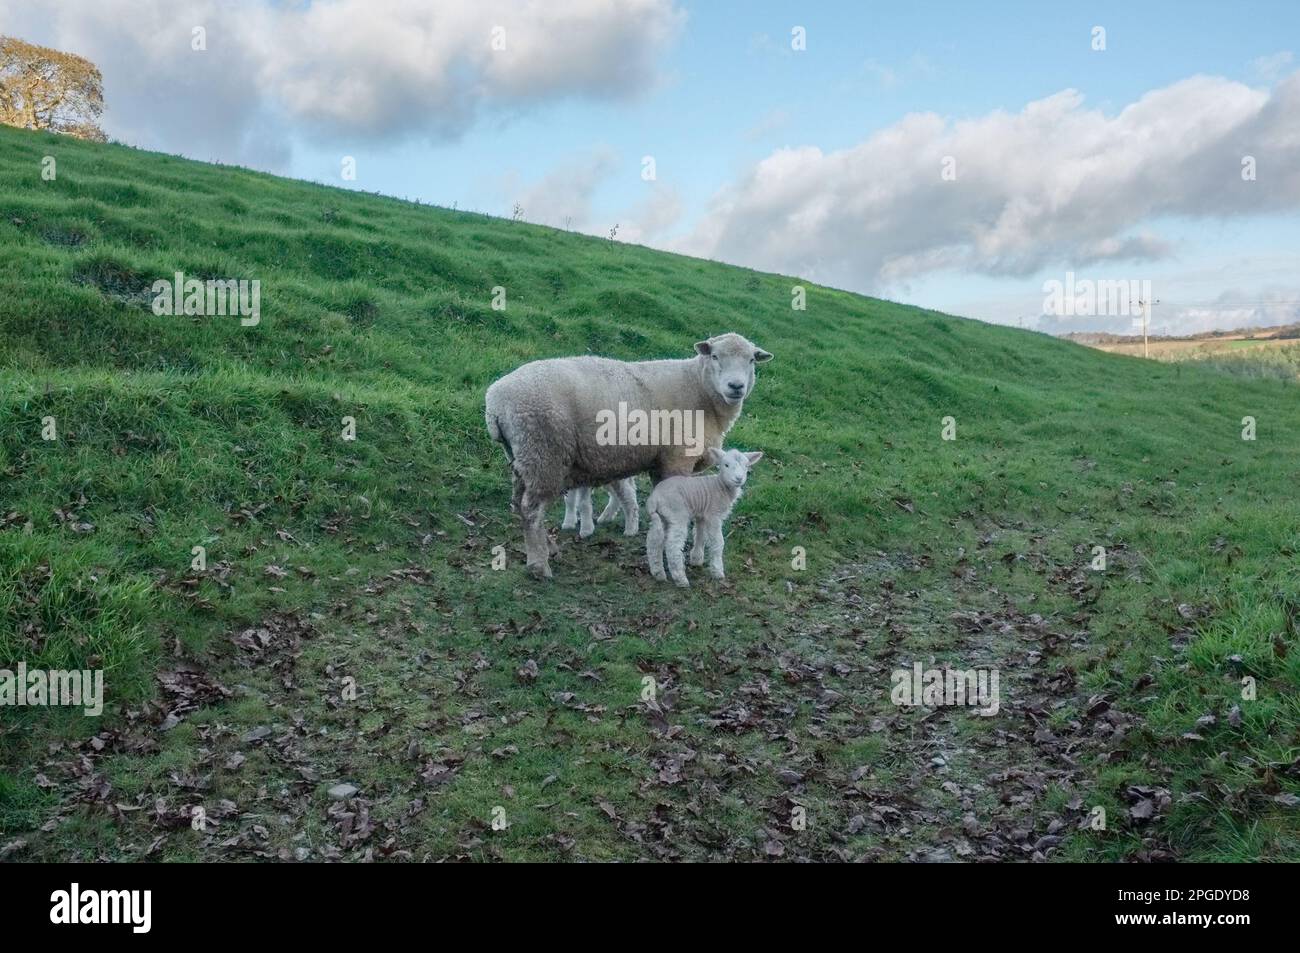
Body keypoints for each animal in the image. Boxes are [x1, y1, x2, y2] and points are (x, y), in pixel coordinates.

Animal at [646, 447, 763, 587]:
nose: (739, 478)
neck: (720, 486)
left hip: (662, 517)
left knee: (653, 542)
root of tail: (654, 499)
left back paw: (658, 573)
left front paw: (696, 559)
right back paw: (681, 579)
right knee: (672, 546)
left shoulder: (702, 514)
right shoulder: (714, 515)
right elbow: (718, 542)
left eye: (746, 466)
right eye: (726, 465)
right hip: (677, 515)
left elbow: (700, 534)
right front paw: (717, 571)